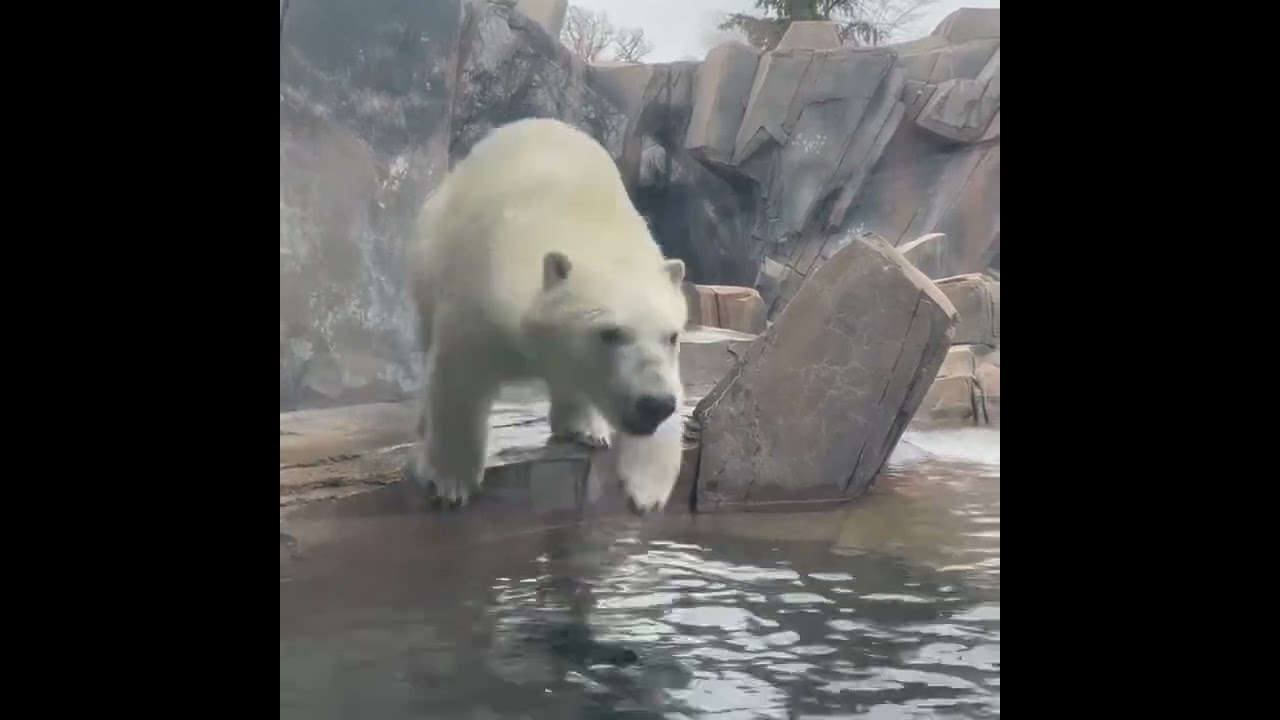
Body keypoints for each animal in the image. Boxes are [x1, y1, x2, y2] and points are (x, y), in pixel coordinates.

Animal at [406, 117, 689, 514]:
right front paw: (450, 484)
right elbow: (458, 378)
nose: (653, 405)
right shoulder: (480, 299)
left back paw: (585, 427)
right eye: (610, 332)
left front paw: (648, 491)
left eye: (672, 335)